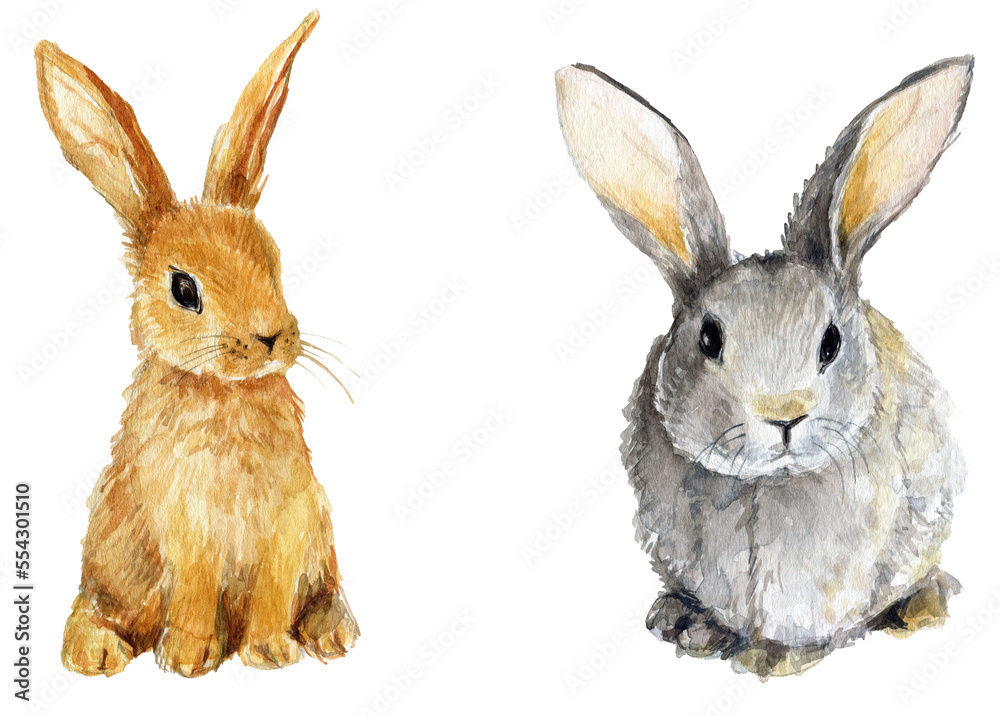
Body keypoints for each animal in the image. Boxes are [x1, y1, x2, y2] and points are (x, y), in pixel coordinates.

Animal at [36, 11, 359, 677]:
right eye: (184, 288)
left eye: (273, 260)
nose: (271, 336)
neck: (224, 392)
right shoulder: (186, 525)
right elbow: (195, 586)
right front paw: (188, 659)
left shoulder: (291, 518)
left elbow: (273, 591)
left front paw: (269, 652)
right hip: (110, 557)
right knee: (93, 606)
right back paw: (96, 653)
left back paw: (331, 634)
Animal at [556, 57, 972, 678]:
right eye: (709, 338)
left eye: (831, 342)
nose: (783, 416)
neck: (766, 482)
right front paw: (694, 627)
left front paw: (771, 660)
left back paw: (920, 607)